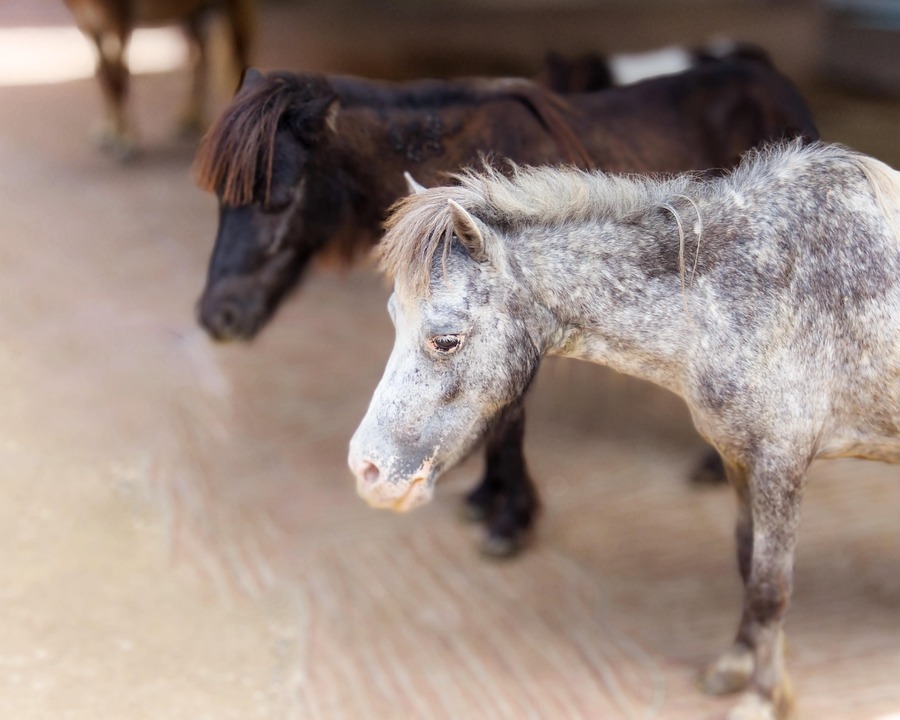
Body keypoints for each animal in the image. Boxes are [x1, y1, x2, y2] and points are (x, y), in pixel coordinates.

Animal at [62, 0, 255, 159]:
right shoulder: (87, 23)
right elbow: (105, 76)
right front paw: (108, 130)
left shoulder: (120, 20)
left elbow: (119, 77)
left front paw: (125, 139)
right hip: (194, 10)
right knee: (200, 56)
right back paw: (190, 117)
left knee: (240, 54)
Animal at [193, 56, 819, 556]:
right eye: (221, 198)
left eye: (280, 199)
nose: (216, 319)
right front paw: (487, 498)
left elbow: (506, 416)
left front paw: (510, 520)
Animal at [348, 140, 900, 720]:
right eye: (393, 315)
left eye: (446, 340)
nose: (367, 469)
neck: (750, 288)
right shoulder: (739, 460)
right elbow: (748, 565)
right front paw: (735, 667)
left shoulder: (780, 465)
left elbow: (771, 587)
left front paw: (764, 698)